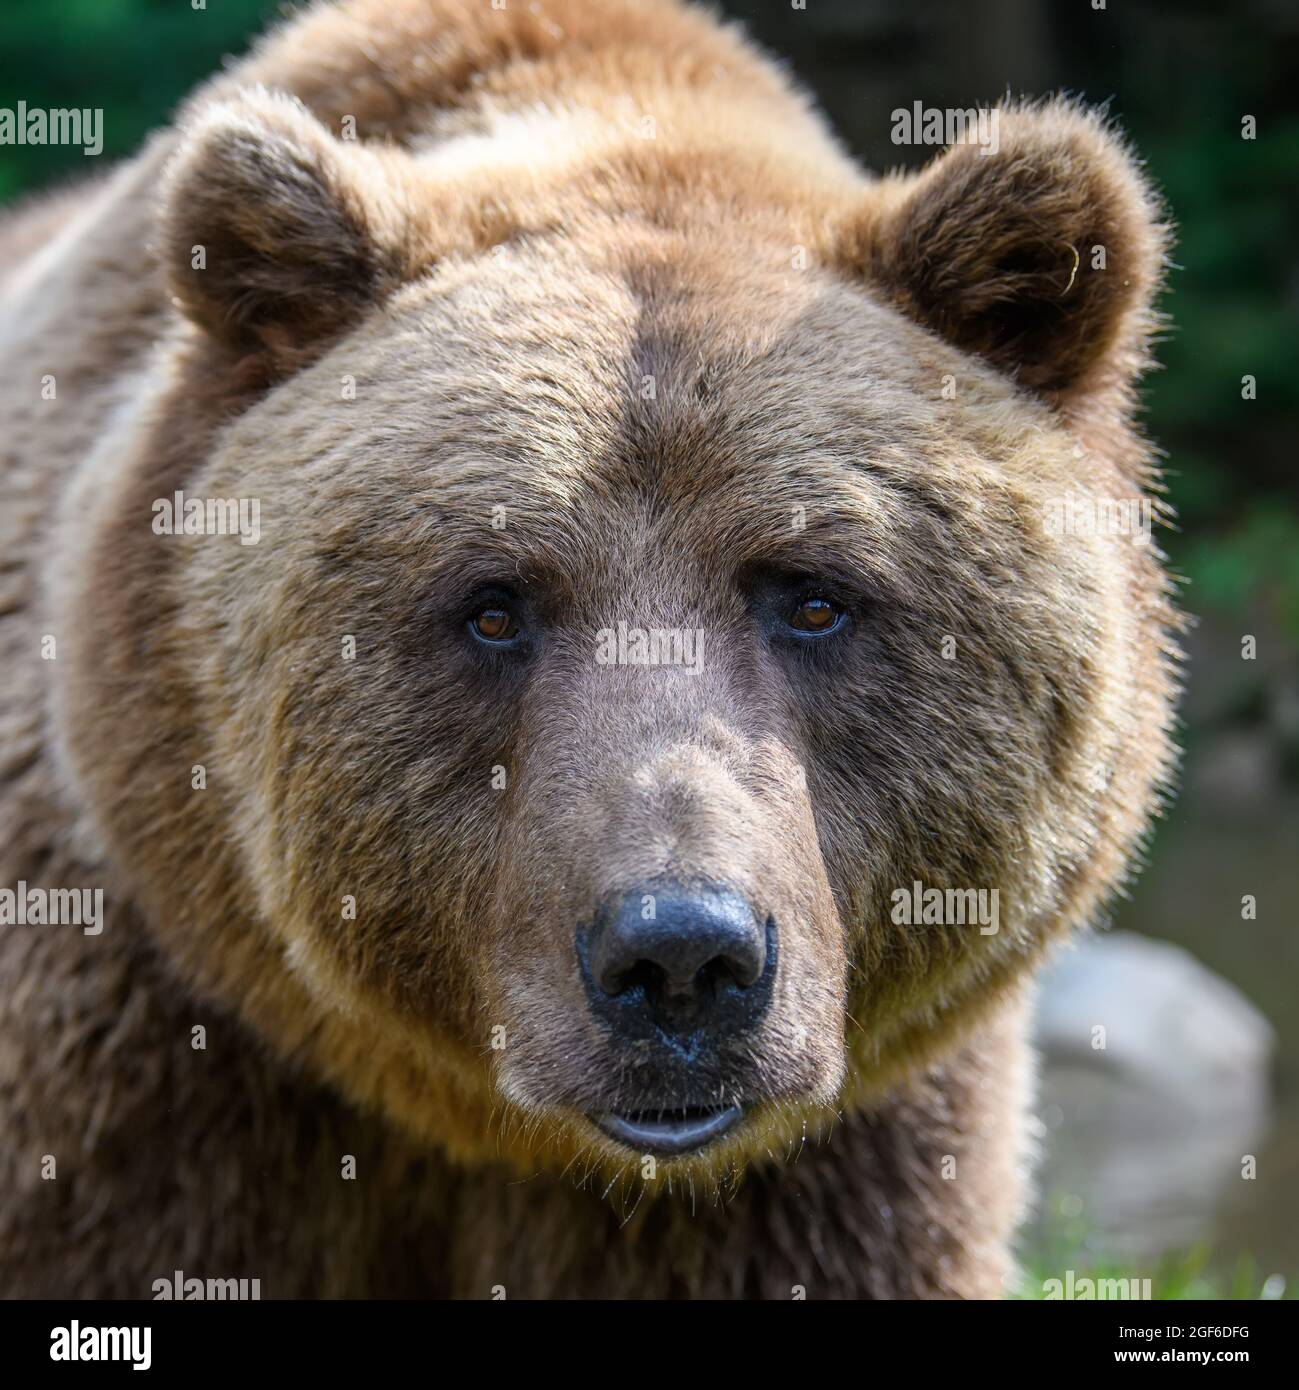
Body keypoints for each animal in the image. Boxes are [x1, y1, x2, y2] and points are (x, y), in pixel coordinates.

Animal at [0, 0, 1178, 1298]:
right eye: (494, 603)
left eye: (814, 595)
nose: (679, 958)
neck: (491, 1128)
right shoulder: (154, 1056)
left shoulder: (838, 1160)